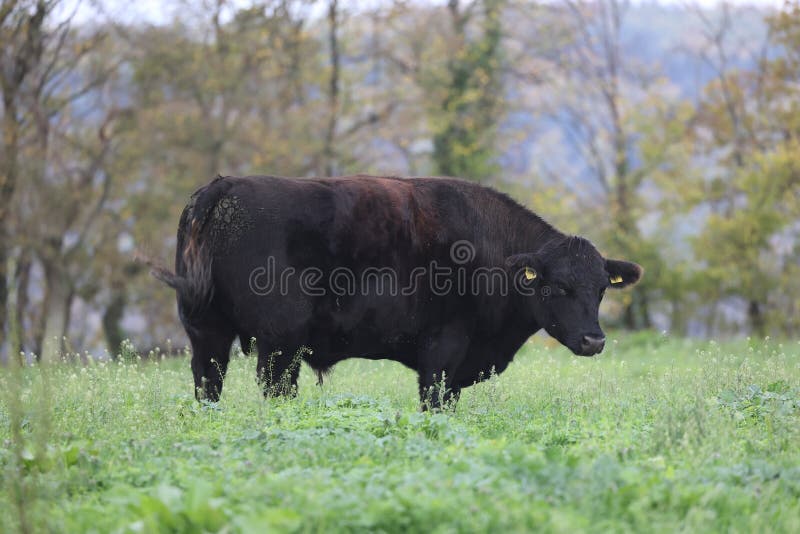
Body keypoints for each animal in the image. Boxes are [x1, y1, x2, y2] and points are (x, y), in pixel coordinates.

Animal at [150, 175, 642, 409]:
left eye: (602, 289)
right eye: (559, 286)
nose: (594, 340)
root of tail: (225, 185)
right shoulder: (443, 351)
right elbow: (434, 404)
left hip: (207, 333)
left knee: (208, 385)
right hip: (279, 344)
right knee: (275, 390)